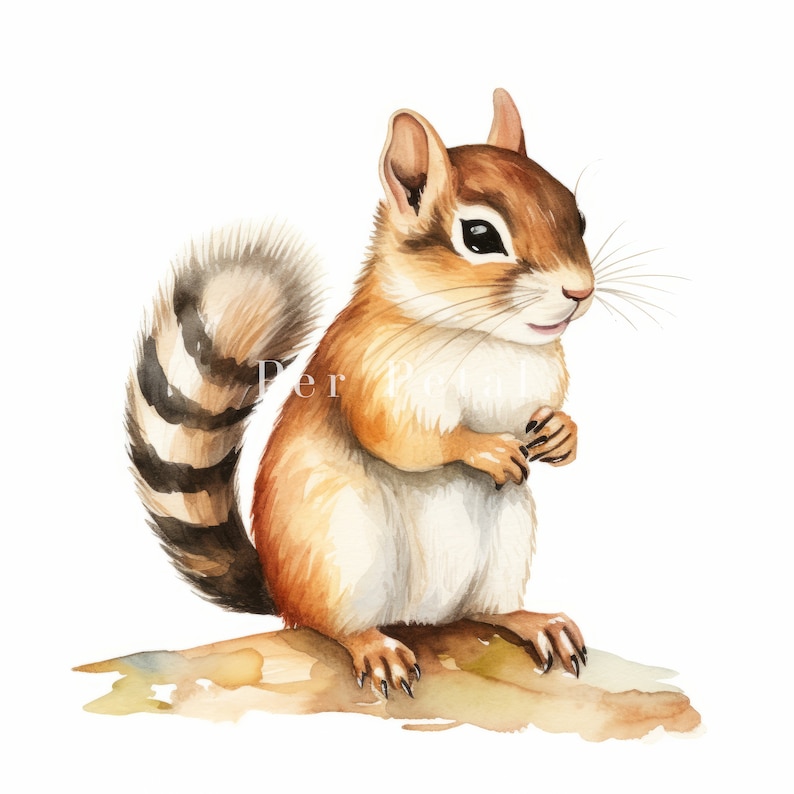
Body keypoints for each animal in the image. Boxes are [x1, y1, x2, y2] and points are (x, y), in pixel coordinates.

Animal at [127, 89, 593, 699]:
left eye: (578, 215)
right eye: (480, 237)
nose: (580, 291)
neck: (484, 335)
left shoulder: (543, 381)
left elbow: (551, 415)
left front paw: (563, 433)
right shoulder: (369, 374)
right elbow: (403, 439)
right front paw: (482, 447)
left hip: (504, 552)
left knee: (485, 610)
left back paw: (531, 621)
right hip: (340, 555)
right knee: (330, 623)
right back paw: (373, 646)